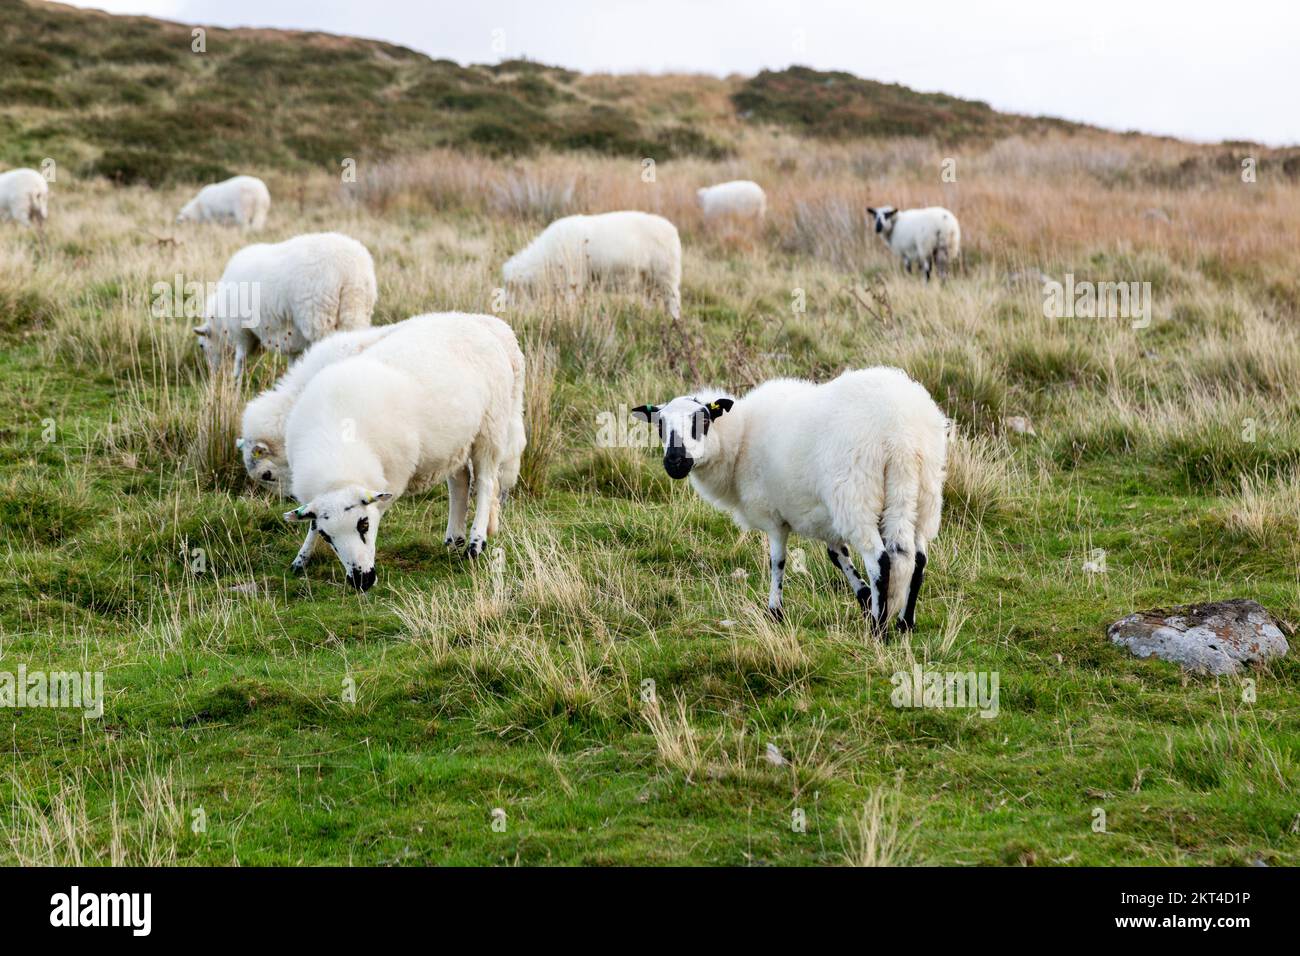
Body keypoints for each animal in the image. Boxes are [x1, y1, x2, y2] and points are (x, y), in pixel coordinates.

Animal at [193, 232, 377, 379]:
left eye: (201, 346)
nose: (212, 375)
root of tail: (350, 269)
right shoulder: (292, 337)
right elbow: (293, 360)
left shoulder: (241, 331)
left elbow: (240, 359)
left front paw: (235, 381)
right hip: (356, 310)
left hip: (318, 318)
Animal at [239, 313, 527, 548]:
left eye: (266, 475)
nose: (290, 501)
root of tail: (502, 329)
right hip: (457, 438)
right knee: (461, 481)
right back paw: (455, 538)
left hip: (491, 426)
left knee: (487, 480)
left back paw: (477, 538)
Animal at [502, 211, 681, 319]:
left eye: (511, 288)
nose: (505, 311)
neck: (543, 259)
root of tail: (672, 229)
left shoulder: (573, 279)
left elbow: (570, 302)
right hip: (648, 280)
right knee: (651, 299)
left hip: (666, 275)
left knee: (673, 300)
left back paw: (674, 319)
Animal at [632, 367, 947, 634]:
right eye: (660, 425)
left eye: (704, 420)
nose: (675, 462)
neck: (740, 441)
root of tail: (901, 435)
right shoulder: (821, 513)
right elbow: (837, 554)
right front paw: (864, 596)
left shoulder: (774, 515)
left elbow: (777, 561)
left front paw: (775, 611)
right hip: (923, 495)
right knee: (917, 558)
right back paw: (905, 623)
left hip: (856, 497)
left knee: (880, 560)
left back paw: (878, 630)